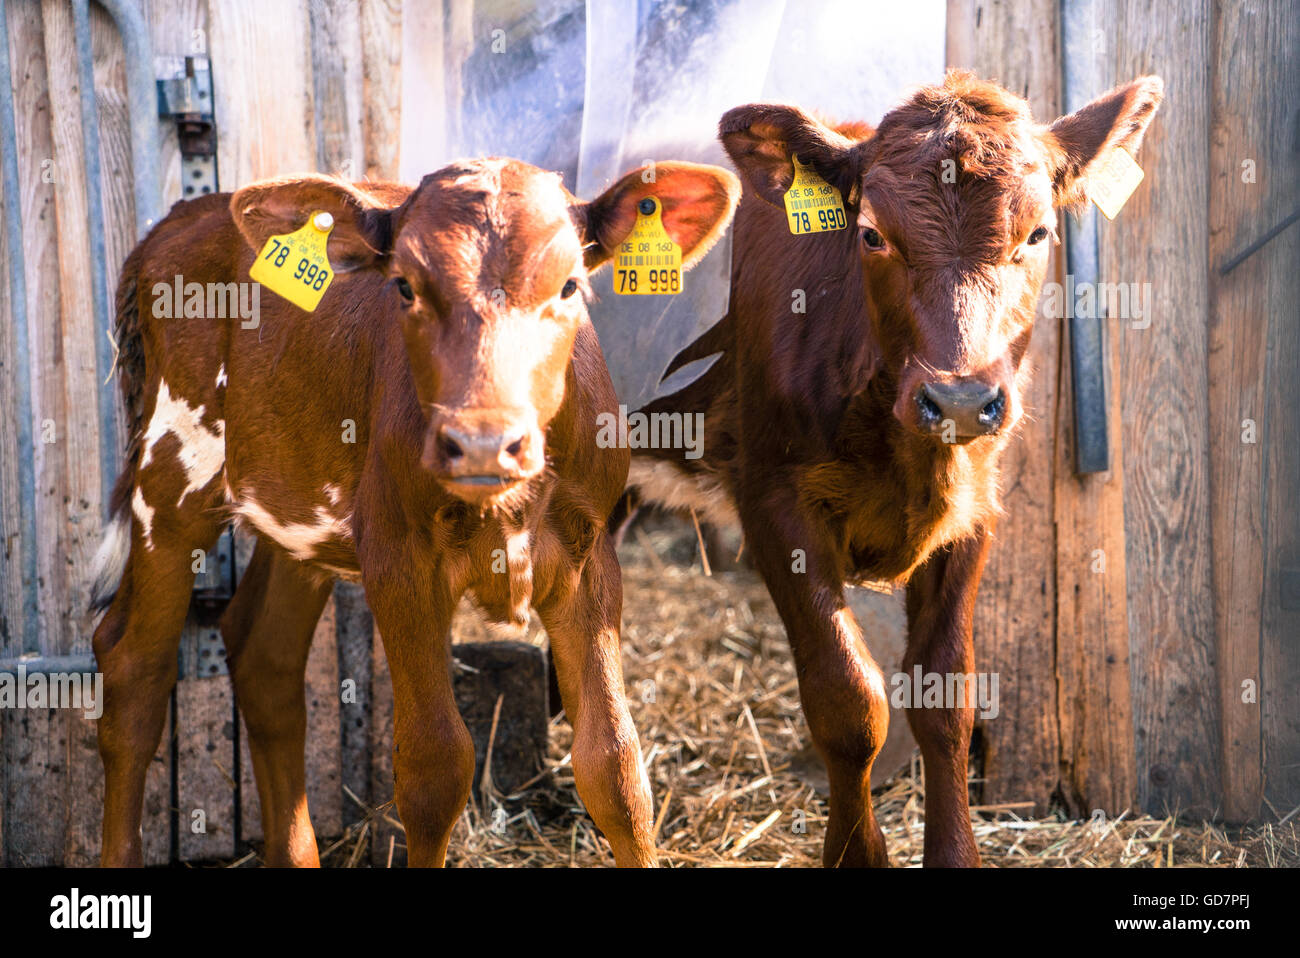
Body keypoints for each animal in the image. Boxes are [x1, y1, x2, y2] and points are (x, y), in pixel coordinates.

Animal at [88, 157, 740, 867]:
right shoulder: (399, 562)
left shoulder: (588, 556)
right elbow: (433, 768)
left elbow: (615, 767)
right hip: (171, 477)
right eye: (404, 286)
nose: (483, 440)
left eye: (570, 284)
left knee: (264, 658)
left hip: (300, 509)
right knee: (133, 670)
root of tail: (182, 218)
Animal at [623, 71, 1163, 866]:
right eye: (871, 234)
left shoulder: (975, 515)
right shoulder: (772, 504)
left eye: (1037, 234)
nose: (959, 399)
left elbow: (946, 698)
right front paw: (856, 853)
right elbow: (848, 700)